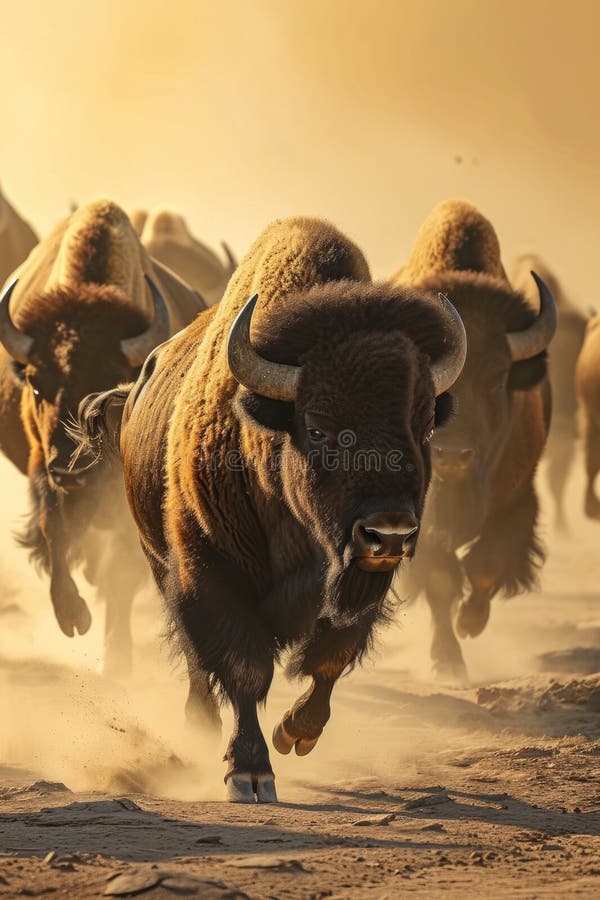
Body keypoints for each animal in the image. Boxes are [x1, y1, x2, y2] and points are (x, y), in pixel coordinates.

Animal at [0, 199, 205, 674]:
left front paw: (116, 659)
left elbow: (121, 572)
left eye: (109, 386)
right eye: (35, 384)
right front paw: (72, 616)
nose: (70, 472)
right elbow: (54, 530)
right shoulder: (43, 467)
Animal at [73, 215, 467, 800]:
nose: (390, 532)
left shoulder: (364, 581)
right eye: (319, 426)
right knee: (195, 655)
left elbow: (331, 655)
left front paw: (295, 732)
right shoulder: (213, 569)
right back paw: (198, 726)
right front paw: (249, 772)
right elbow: (243, 667)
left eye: (424, 427)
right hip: (158, 558)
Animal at [394, 200, 557, 680]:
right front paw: (446, 659)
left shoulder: (520, 497)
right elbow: (441, 578)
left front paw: (471, 622)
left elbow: (487, 564)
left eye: (498, 377)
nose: (453, 455)